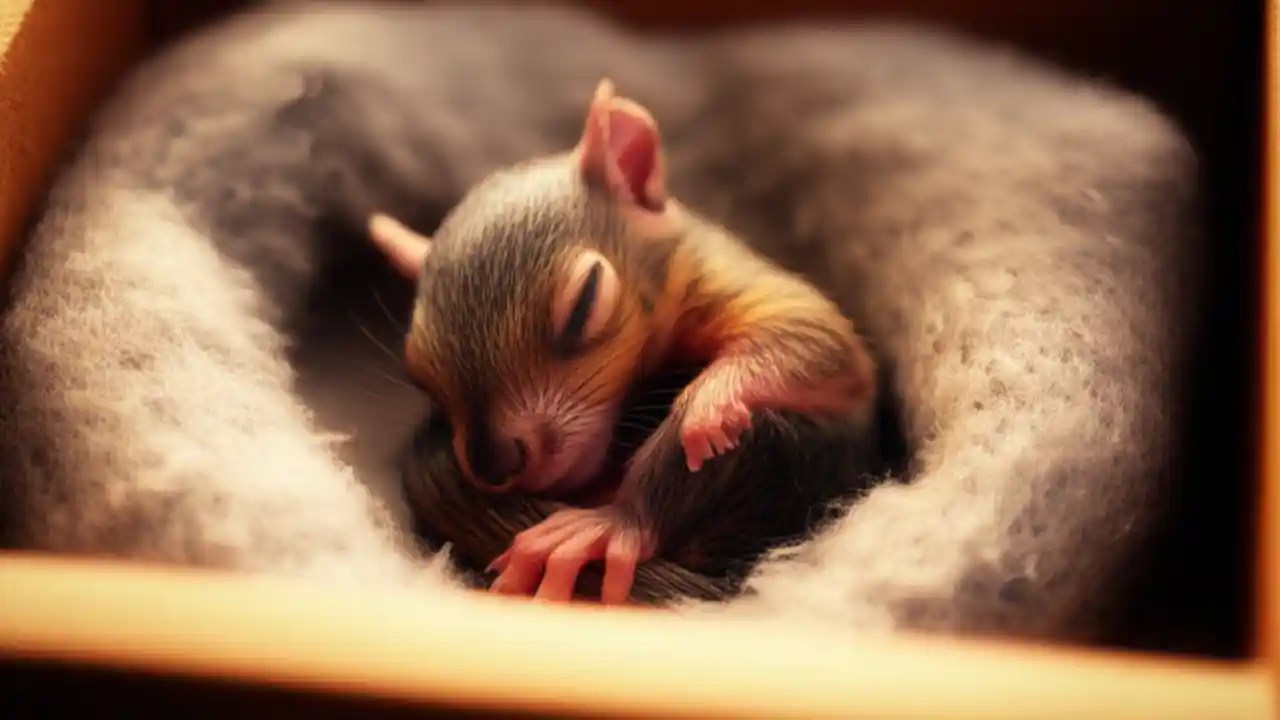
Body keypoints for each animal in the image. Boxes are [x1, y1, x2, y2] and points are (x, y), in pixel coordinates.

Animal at [367, 79, 877, 604]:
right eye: (418, 374)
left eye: (585, 303)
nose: (494, 466)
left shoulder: (720, 277)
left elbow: (822, 341)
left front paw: (712, 396)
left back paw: (614, 523)